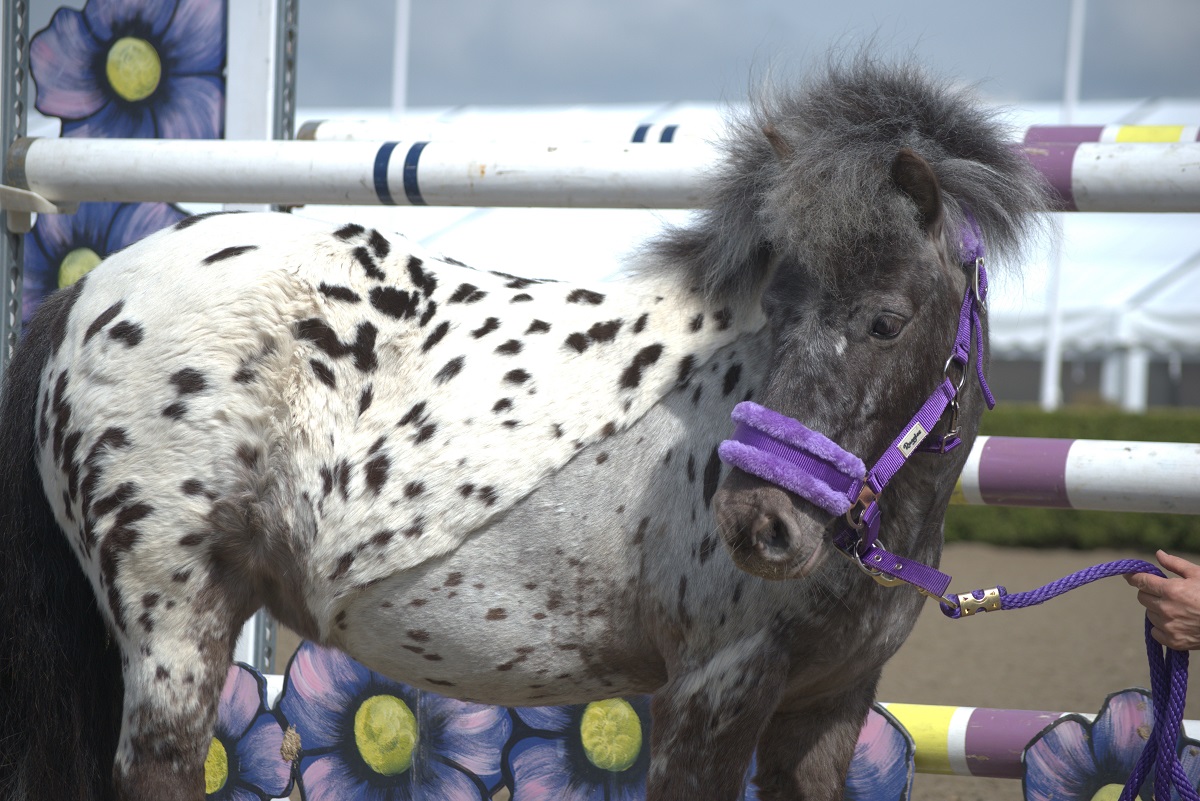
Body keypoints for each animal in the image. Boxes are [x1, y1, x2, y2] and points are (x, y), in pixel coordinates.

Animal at [0, 58, 1046, 801]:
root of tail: (90, 291)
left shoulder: (827, 709)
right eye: (775, 310)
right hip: (174, 621)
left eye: (886, 320)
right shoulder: (711, 695)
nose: (761, 525)